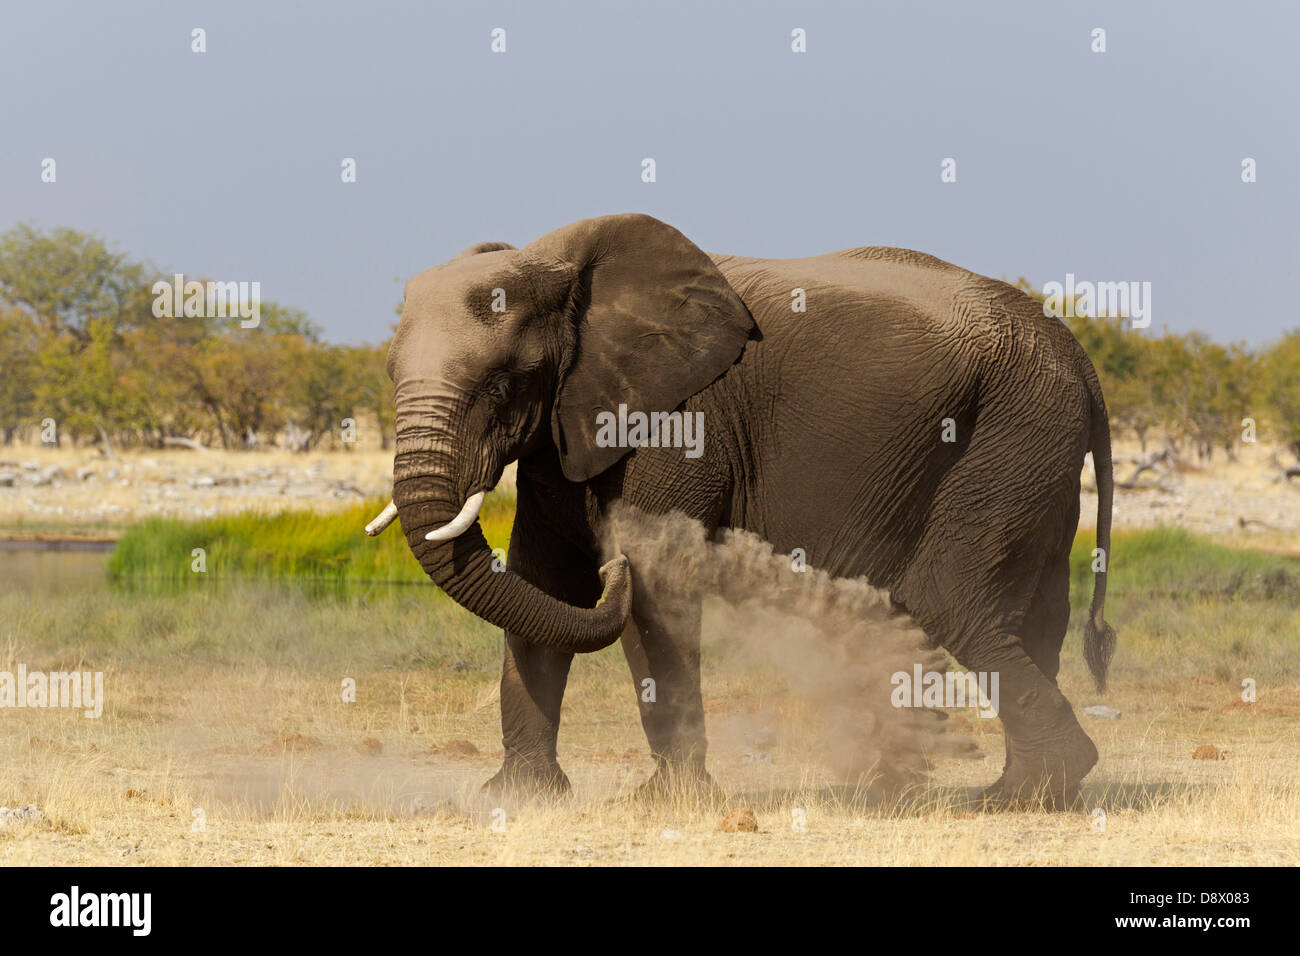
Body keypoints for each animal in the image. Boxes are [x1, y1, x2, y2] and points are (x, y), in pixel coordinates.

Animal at [366, 212, 1116, 809]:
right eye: (388, 375)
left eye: (501, 385)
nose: (613, 566)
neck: (553, 261)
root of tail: (1077, 354)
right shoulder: (563, 429)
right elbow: (543, 583)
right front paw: (518, 797)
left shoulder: (676, 421)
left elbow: (657, 589)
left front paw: (666, 803)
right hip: (1032, 451)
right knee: (1036, 616)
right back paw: (1028, 790)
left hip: (1009, 432)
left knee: (951, 600)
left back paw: (1014, 796)